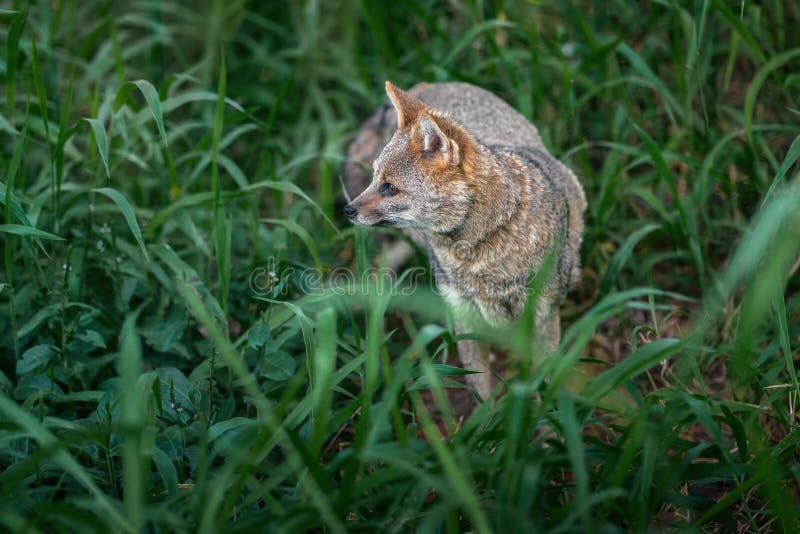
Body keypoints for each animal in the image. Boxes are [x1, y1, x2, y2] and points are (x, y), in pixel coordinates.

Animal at [343, 81, 586, 400]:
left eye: (390, 188)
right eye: (374, 179)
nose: (347, 210)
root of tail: (433, 84)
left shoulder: (543, 317)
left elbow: (542, 380)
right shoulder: (464, 315)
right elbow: (480, 388)